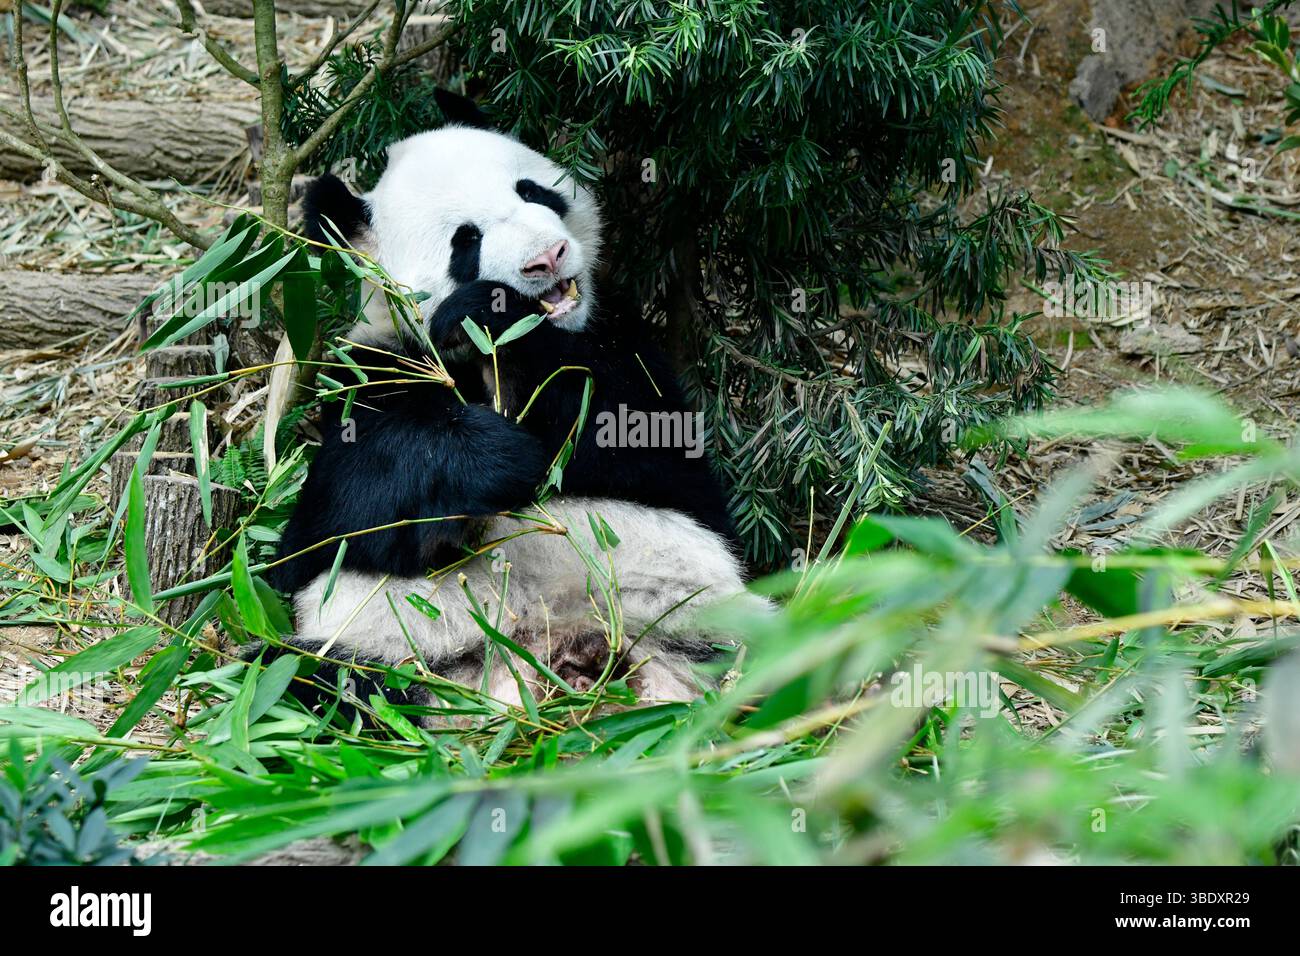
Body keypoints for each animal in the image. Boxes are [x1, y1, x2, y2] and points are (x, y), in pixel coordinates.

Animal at [266, 90, 765, 721]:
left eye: (532, 191)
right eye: (466, 241)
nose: (547, 257)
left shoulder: (619, 337)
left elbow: (644, 447)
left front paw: (498, 320)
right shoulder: (369, 367)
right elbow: (336, 519)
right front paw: (498, 457)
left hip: (703, 621)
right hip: (388, 651)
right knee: (307, 678)